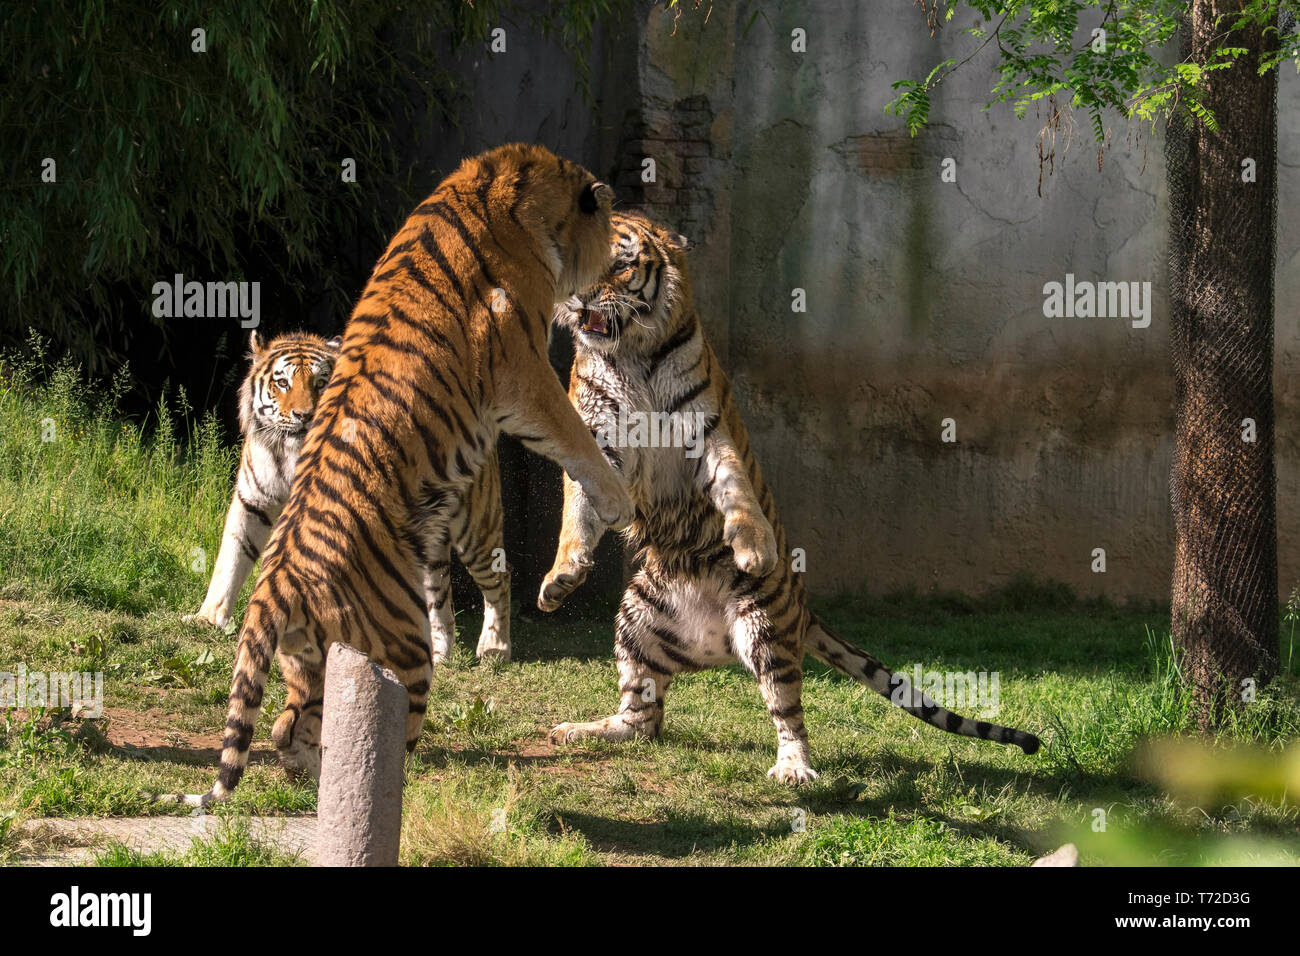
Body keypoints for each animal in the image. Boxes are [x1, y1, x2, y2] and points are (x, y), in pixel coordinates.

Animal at [183, 330, 512, 663]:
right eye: (283, 383)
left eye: (320, 382)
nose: (304, 415)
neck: (290, 455)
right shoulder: (252, 501)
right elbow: (231, 558)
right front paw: (208, 618)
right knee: (439, 590)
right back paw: (440, 652)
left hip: (474, 526)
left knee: (500, 576)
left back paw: (495, 648)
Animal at [538, 210, 1040, 783]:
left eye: (619, 265)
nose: (579, 300)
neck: (632, 353)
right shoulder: (599, 441)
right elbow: (577, 513)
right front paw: (560, 580)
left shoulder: (706, 430)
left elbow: (735, 490)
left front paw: (756, 548)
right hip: (637, 619)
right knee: (644, 719)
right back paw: (584, 730)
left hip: (765, 627)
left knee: (786, 710)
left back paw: (795, 768)